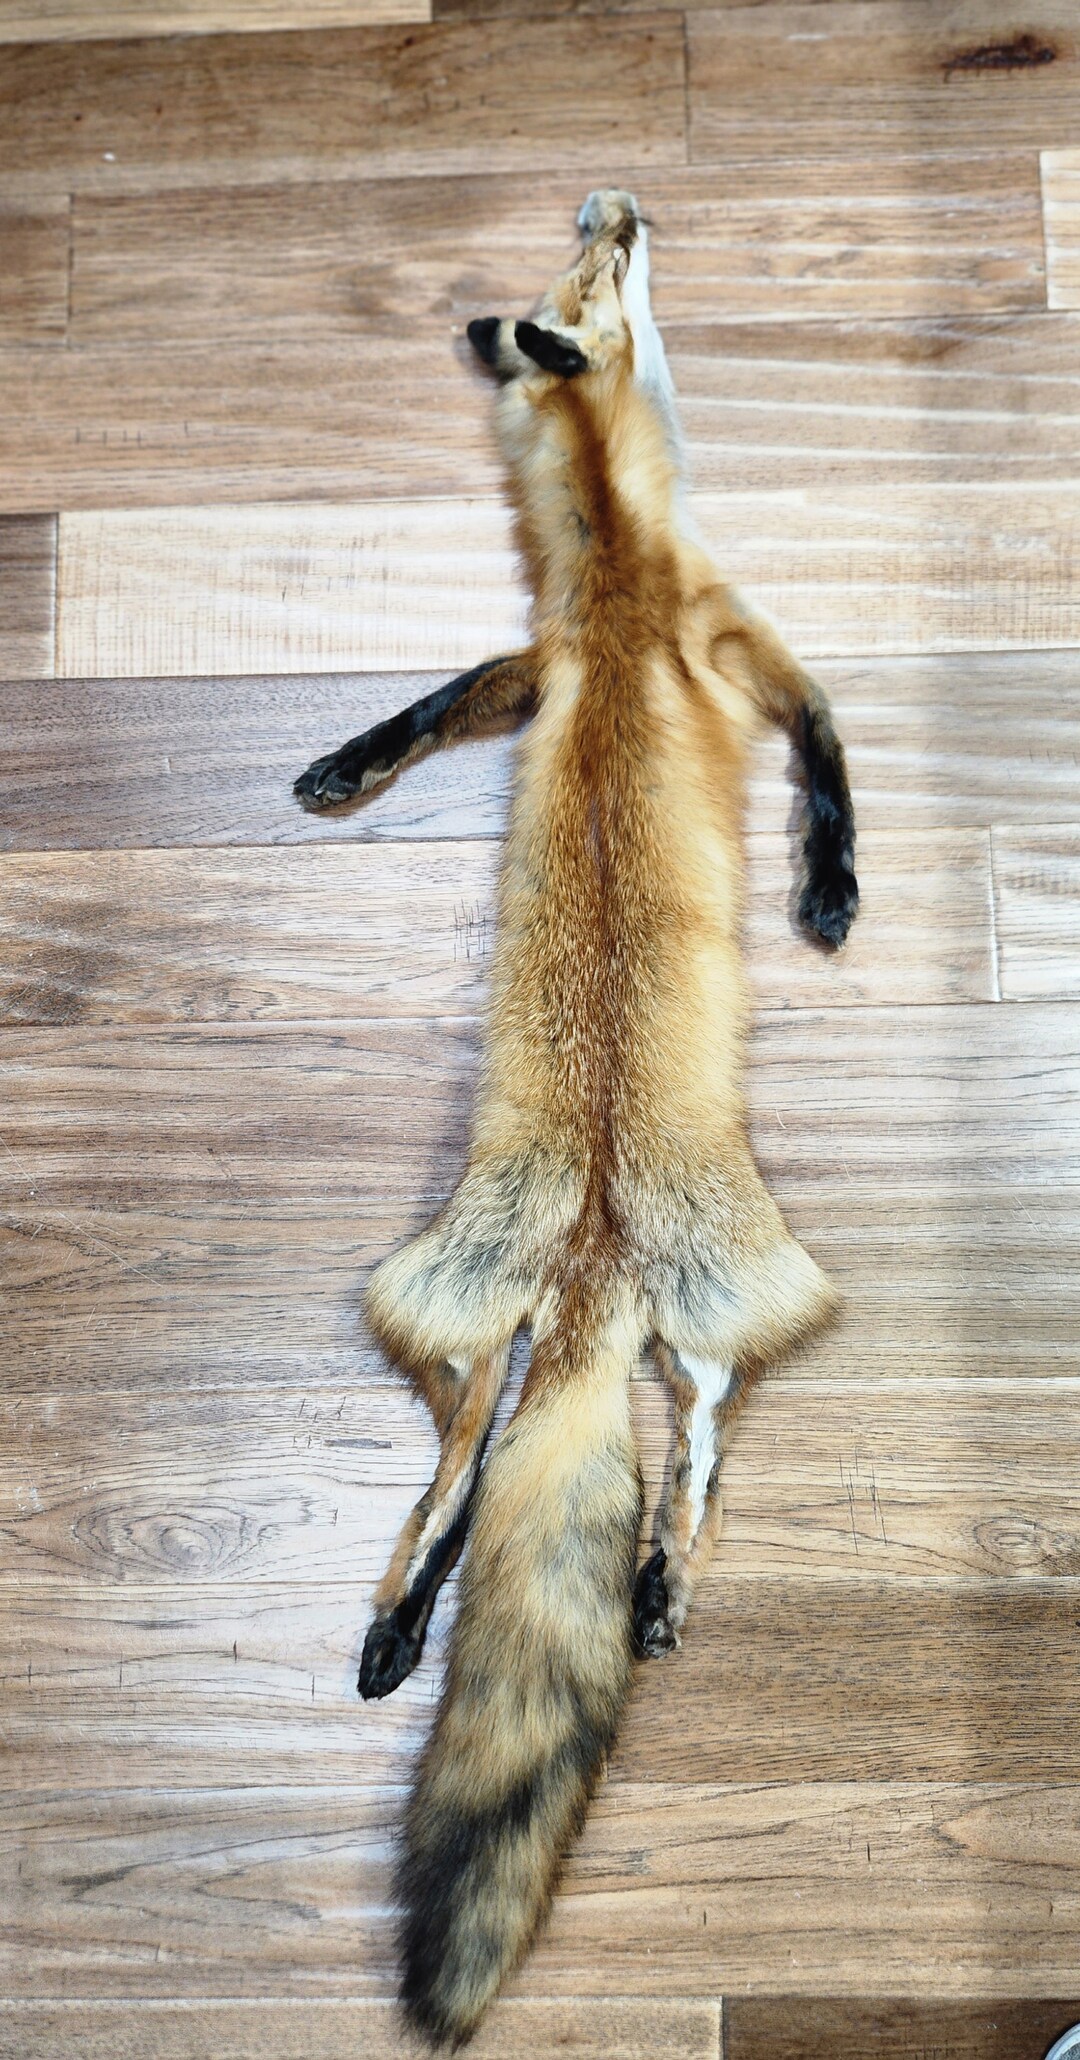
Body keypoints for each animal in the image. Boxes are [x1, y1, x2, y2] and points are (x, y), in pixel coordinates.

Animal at [294, 189, 858, 2048]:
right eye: (596, 275)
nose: (617, 200)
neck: (614, 579)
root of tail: (600, 1265)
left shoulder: (566, 655)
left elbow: (451, 694)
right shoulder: (723, 632)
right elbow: (824, 737)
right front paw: (833, 879)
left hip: (484, 1313)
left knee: (571, 1452)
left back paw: (505, 1611)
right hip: (578, 1310)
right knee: (598, 1448)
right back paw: (528, 1598)